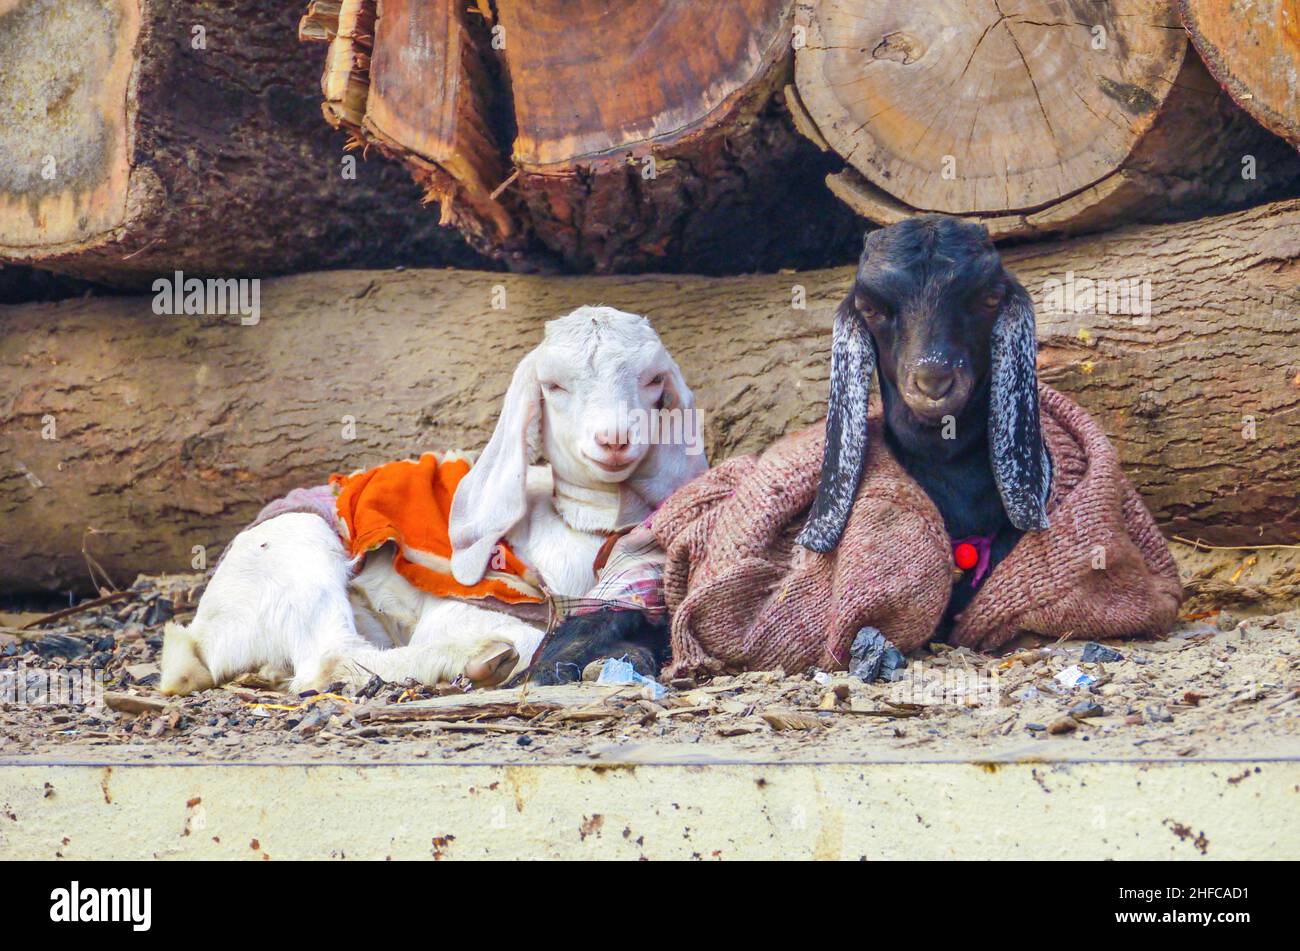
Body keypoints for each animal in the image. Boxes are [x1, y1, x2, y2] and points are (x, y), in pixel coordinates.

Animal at [160, 306, 706, 696]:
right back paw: (478, 658)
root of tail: (203, 635)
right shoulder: (466, 602)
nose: (614, 439)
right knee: (328, 659)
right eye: (553, 386)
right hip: (293, 552)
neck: (586, 528)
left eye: (653, 380)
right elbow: (537, 638)